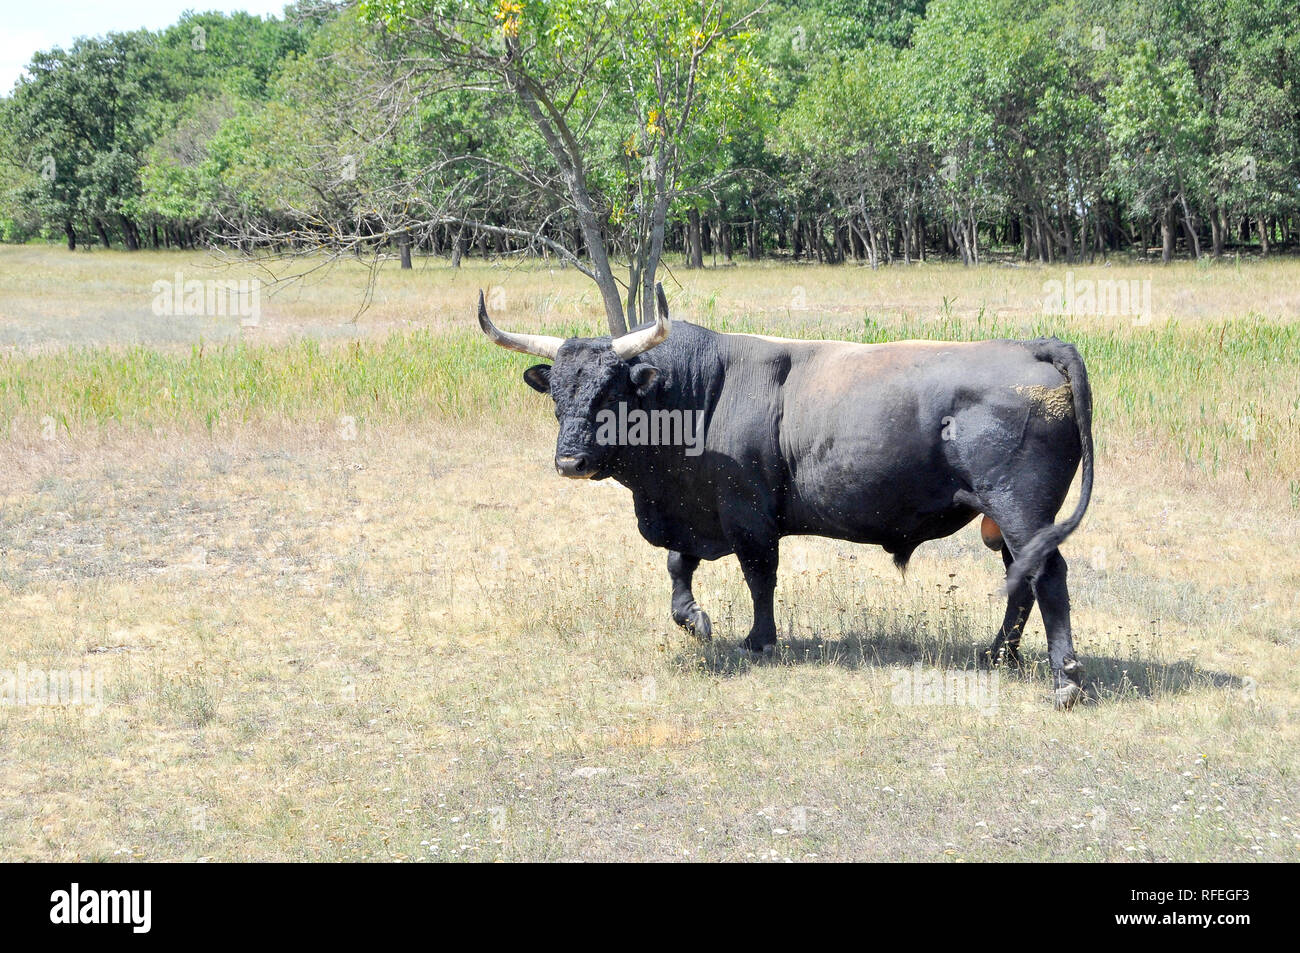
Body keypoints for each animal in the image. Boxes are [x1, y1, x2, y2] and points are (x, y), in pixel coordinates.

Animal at [478, 285, 1094, 709]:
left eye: (609, 392)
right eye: (557, 393)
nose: (570, 462)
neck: (696, 393)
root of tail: (1035, 347)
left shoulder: (747, 513)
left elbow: (759, 576)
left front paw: (759, 640)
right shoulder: (696, 509)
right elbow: (679, 566)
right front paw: (694, 619)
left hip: (1020, 508)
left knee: (1048, 576)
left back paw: (1063, 679)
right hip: (1005, 519)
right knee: (1021, 578)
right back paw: (998, 654)